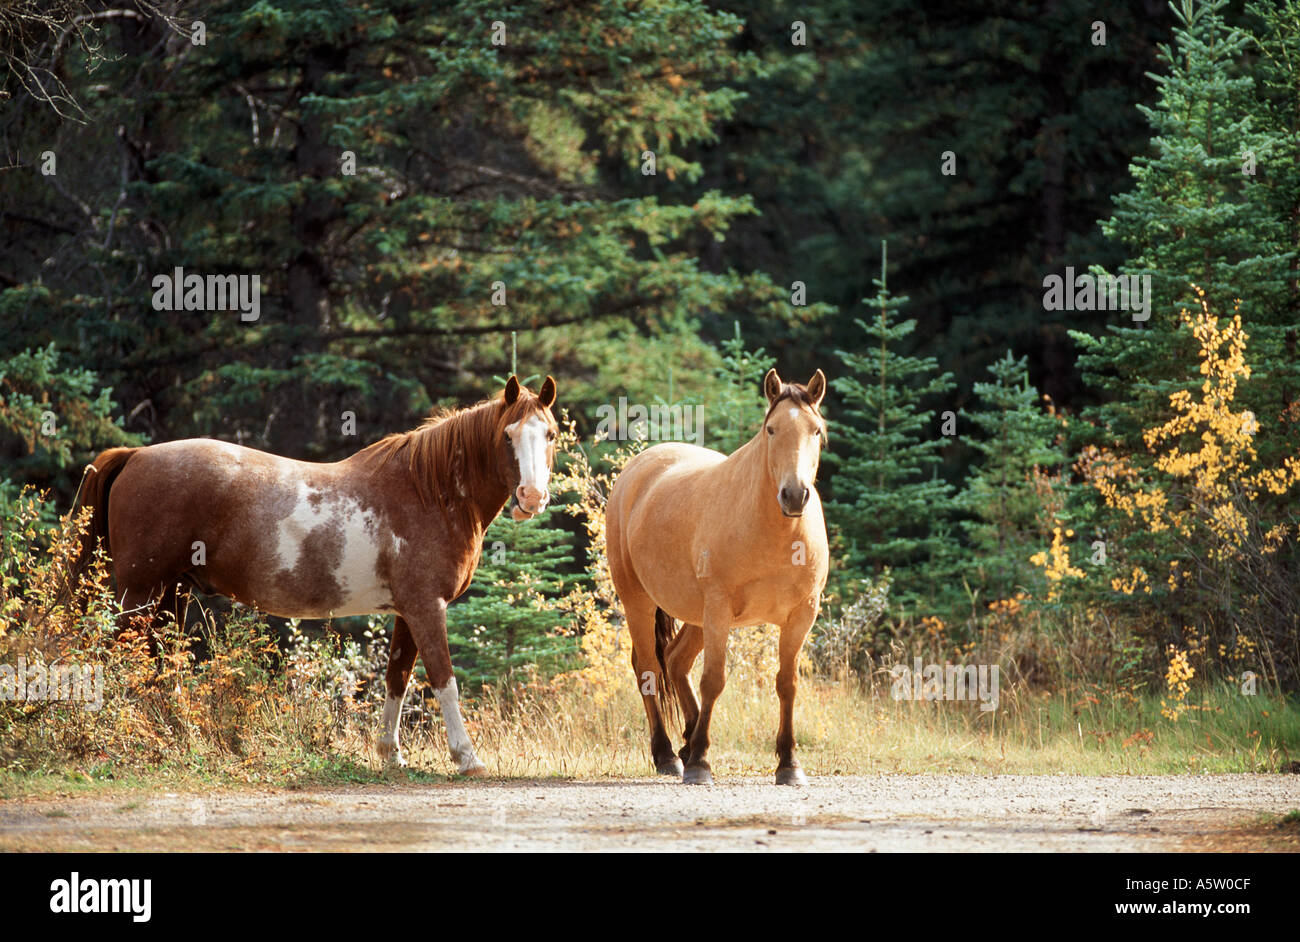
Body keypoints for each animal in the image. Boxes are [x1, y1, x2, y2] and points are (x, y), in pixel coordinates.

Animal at [70, 375, 559, 775]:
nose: (532, 497)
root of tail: (135, 456)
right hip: (141, 593)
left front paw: (390, 754)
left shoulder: (407, 610)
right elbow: (444, 680)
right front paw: (467, 758)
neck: (429, 492)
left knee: (158, 665)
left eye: (551, 434)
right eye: (508, 435)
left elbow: (397, 678)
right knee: (119, 658)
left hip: (172, 595)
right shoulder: (426, 607)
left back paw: (174, 735)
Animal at [605, 368, 829, 785]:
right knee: (648, 667)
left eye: (817, 431)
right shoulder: (720, 610)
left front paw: (789, 763)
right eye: (771, 429)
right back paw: (668, 754)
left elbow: (787, 684)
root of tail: (638, 468)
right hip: (640, 601)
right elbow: (714, 679)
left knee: (675, 660)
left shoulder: (801, 615)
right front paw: (700, 763)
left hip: (696, 614)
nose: (794, 495)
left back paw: (687, 739)